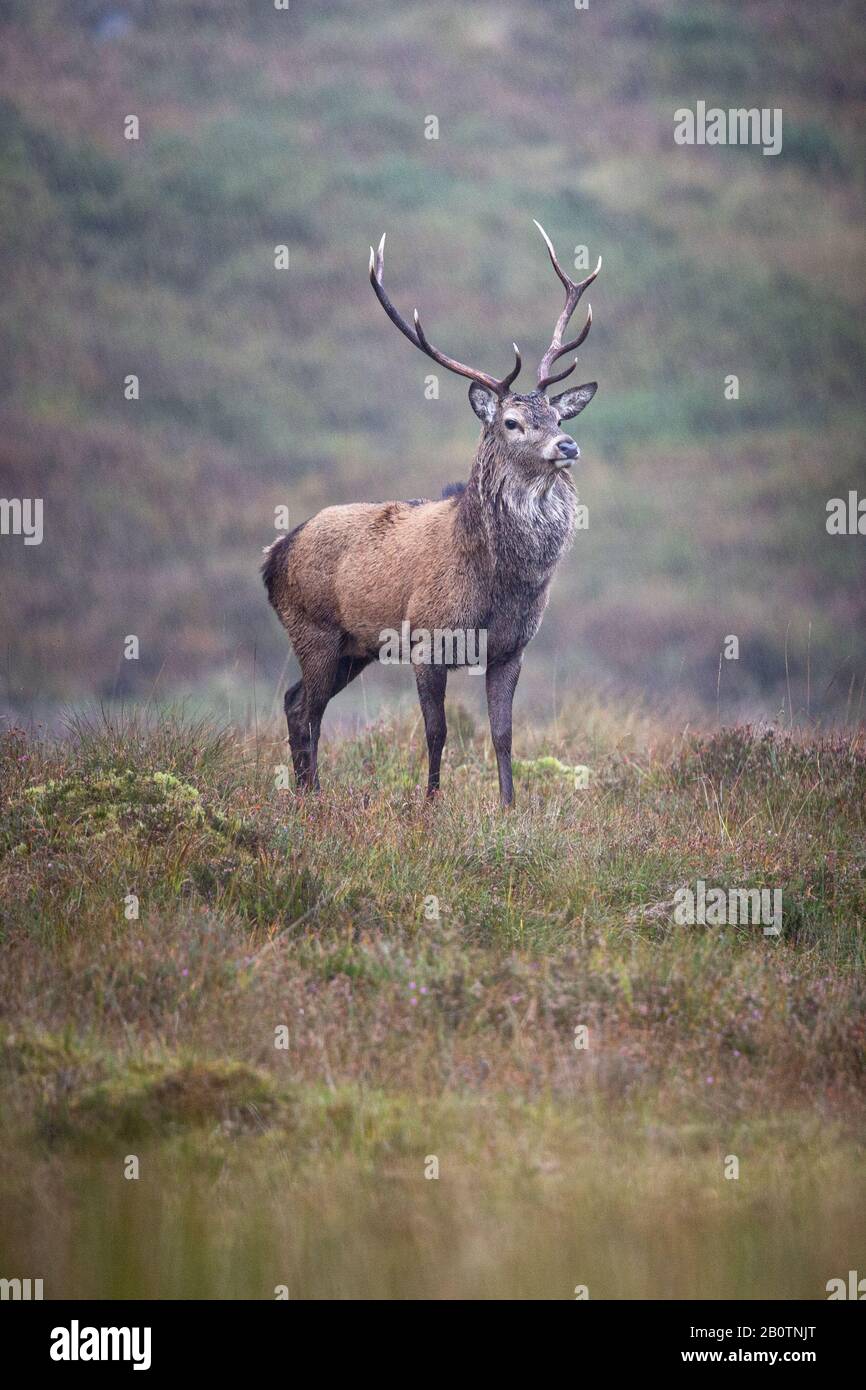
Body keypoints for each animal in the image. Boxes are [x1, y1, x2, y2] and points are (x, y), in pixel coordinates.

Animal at [263, 222, 600, 807]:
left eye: (558, 415)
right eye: (512, 422)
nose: (568, 444)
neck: (500, 580)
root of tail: (273, 555)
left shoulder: (510, 648)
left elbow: (503, 733)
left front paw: (509, 807)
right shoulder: (428, 639)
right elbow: (437, 732)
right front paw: (430, 804)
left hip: (354, 647)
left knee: (294, 700)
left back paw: (309, 791)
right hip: (314, 631)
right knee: (306, 708)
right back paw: (312, 796)